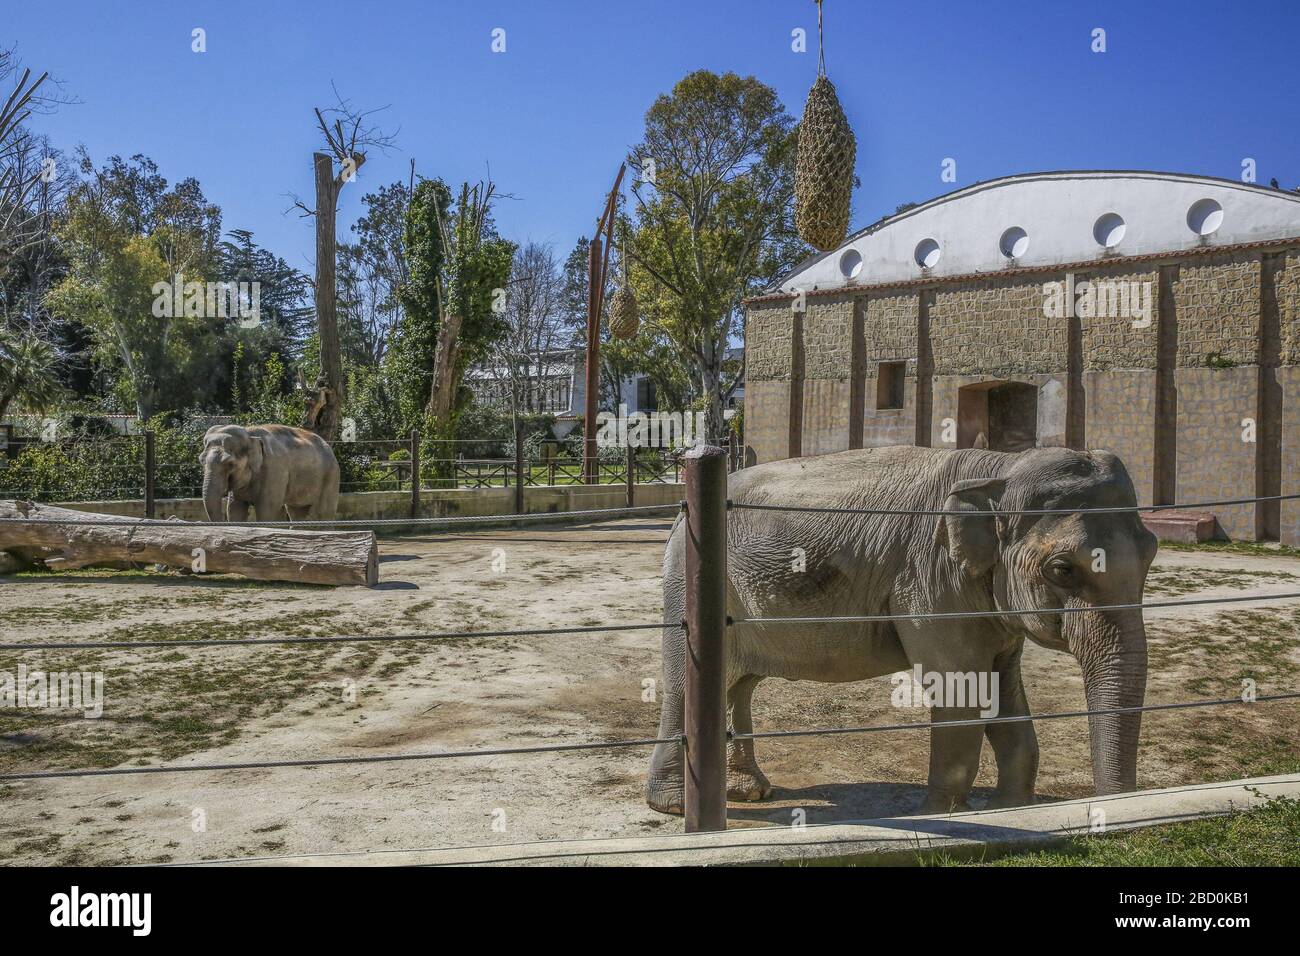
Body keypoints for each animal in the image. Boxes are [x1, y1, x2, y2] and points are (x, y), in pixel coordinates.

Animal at [200, 424, 340, 522]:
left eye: (230, 464)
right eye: (201, 461)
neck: (249, 433)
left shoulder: (274, 470)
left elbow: (267, 509)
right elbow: (234, 509)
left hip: (331, 477)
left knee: (323, 512)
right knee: (296, 512)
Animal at [646, 444, 1158, 816]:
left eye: (1152, 551)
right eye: (1063, 570)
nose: (1118, 809)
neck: (1000, 469)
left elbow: (1003, 689)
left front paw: (1010, 808)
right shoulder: (931, 580)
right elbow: (960, 687)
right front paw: (940, 816)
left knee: (739, 683)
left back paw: (747, 792)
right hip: (687, 579)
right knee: (688, 684)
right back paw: (675, 807)